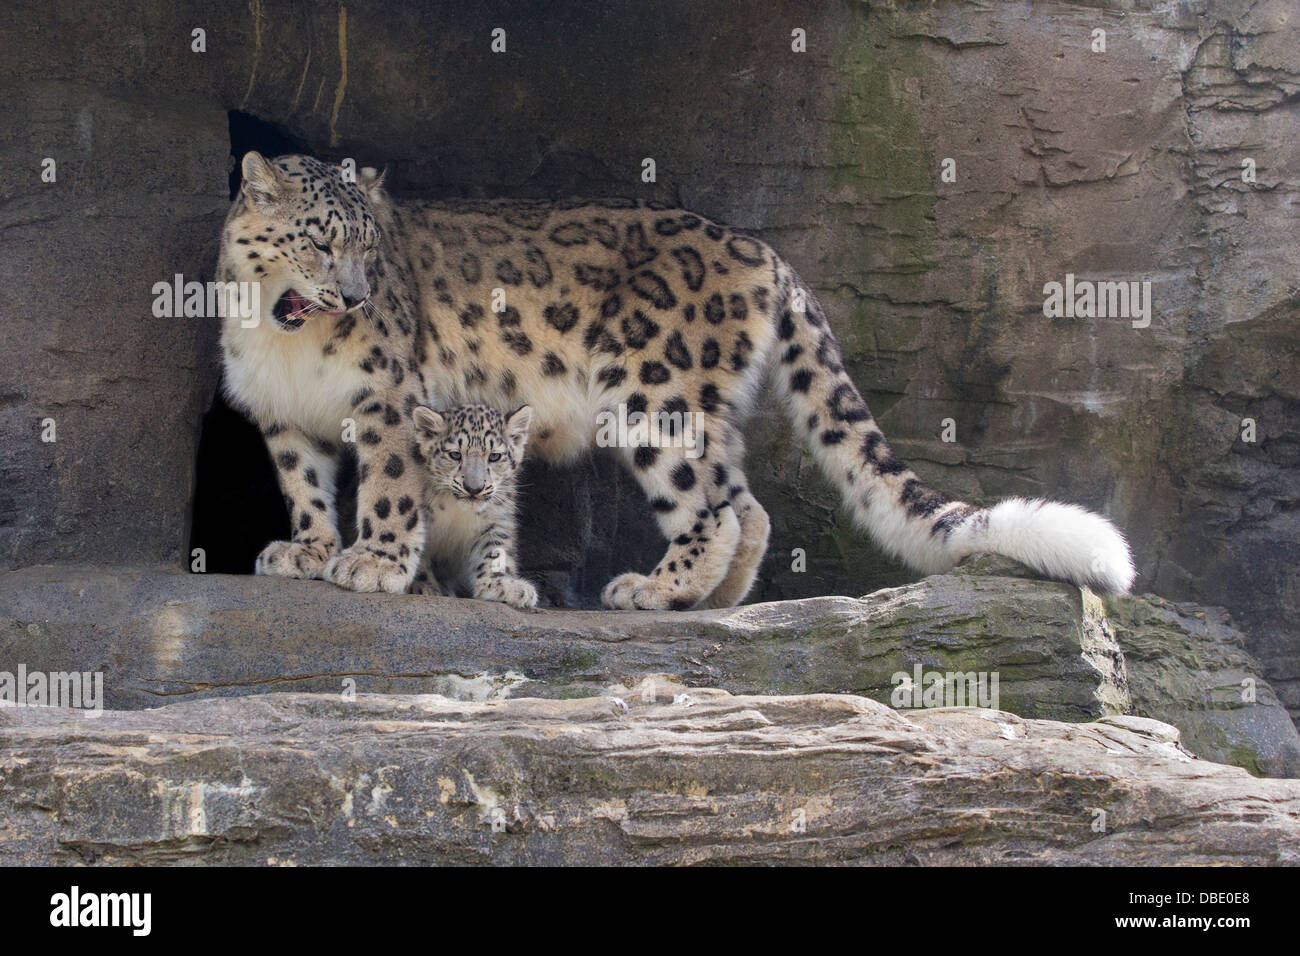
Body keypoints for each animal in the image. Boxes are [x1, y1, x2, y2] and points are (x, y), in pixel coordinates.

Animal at [407, 402, 538, 610]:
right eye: (455, 454)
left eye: (494, 456)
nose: (474, 488)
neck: (456, 512)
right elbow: (418, 553)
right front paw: (424, 586)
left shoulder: (495, 520)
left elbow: (494, 551)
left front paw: (503, 585)